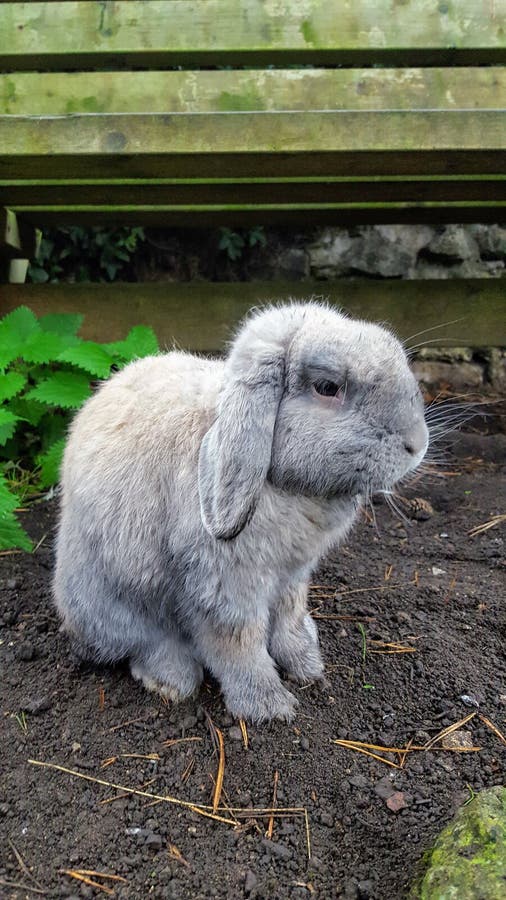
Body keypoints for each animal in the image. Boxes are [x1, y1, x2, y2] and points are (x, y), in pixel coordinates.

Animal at [54, 301, 428, 723]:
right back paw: (171, 679)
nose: (418, 444)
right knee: (141, 643)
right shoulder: (225, 588)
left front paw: (307, 665)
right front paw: (268, 706)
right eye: (328, 387)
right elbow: (238, 645)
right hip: (112, 601)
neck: (283, 484)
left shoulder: (293, 576)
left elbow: (288, 618)